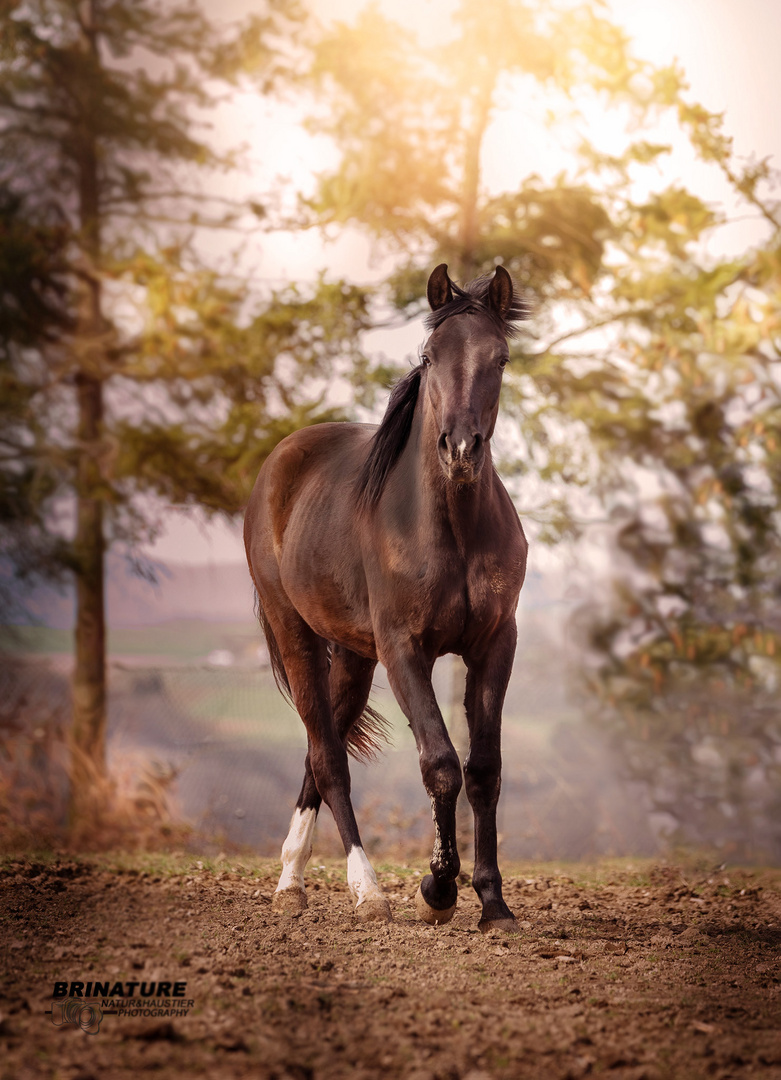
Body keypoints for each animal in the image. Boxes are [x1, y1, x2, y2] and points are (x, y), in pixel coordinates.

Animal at [244, 262, 528, 932]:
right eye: (429, 356)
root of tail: (280, 461)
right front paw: (437, 889)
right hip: (295, 633)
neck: (450, 525)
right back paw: (364, 889)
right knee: (329, 759)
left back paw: (292, 880)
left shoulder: (495, 646)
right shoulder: (404, 650)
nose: (461, 450)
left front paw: (493, 902)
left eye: (500, 358)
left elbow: (484, 769)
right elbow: (441, 764)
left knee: (317, 753)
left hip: (352, 654)